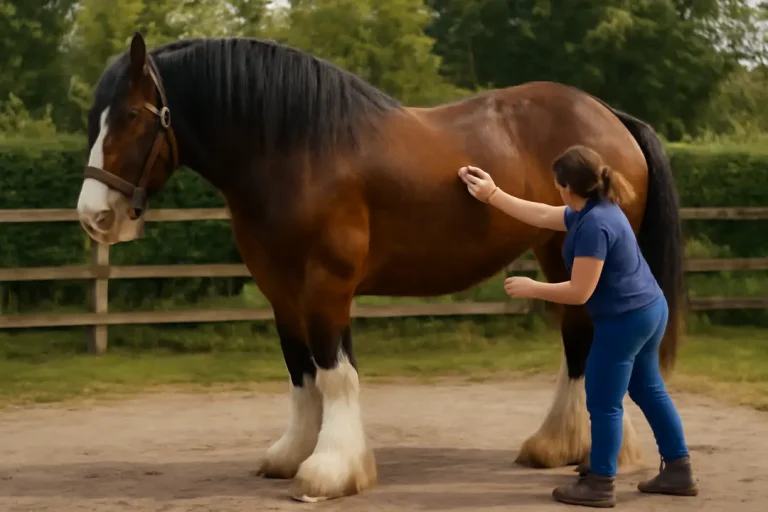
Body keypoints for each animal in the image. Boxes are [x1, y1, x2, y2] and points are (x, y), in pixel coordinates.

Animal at [76, 32, 685, 503]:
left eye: (130, 116)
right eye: (93, 120)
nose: (94, 216)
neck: (295, 151)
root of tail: (610, 117)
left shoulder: (327, 285)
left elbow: (335, 373)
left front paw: (330, 469)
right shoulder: (281, 290)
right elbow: (301, 372)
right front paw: (293, 454)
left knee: (589, 345)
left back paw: (589, 451)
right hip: (558, 254)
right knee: (578, 344)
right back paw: (560, 445)